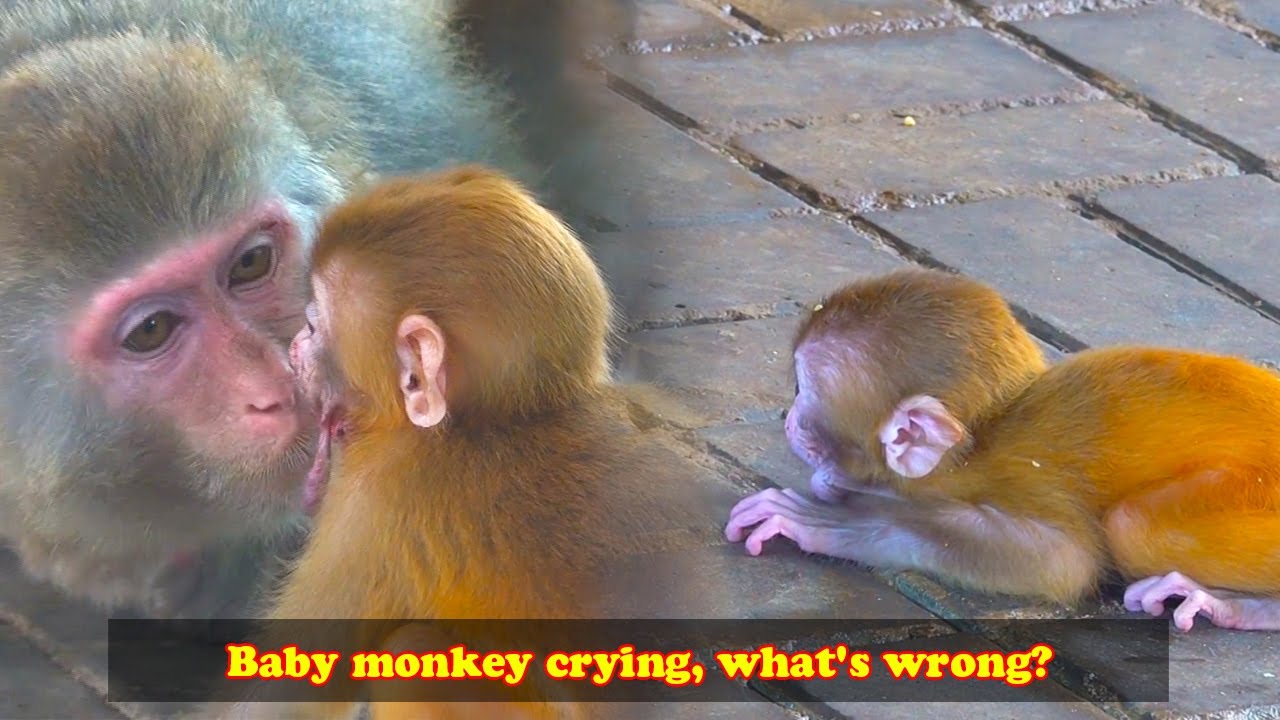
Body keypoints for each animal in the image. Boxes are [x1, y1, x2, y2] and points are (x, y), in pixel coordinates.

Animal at [206, 165, 714, 719]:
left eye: (315, 324)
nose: (297, 344)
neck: (495, 423)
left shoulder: (376, 501)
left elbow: (290, 697)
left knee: (411, 650)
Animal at [724, 267, 1280, 632]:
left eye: (801, 390)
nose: (786, 417)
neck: (984, 435)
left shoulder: (1017, 475)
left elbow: (1063, 561)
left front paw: (840, 523)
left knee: (1134, 526)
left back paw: (1239, 606)